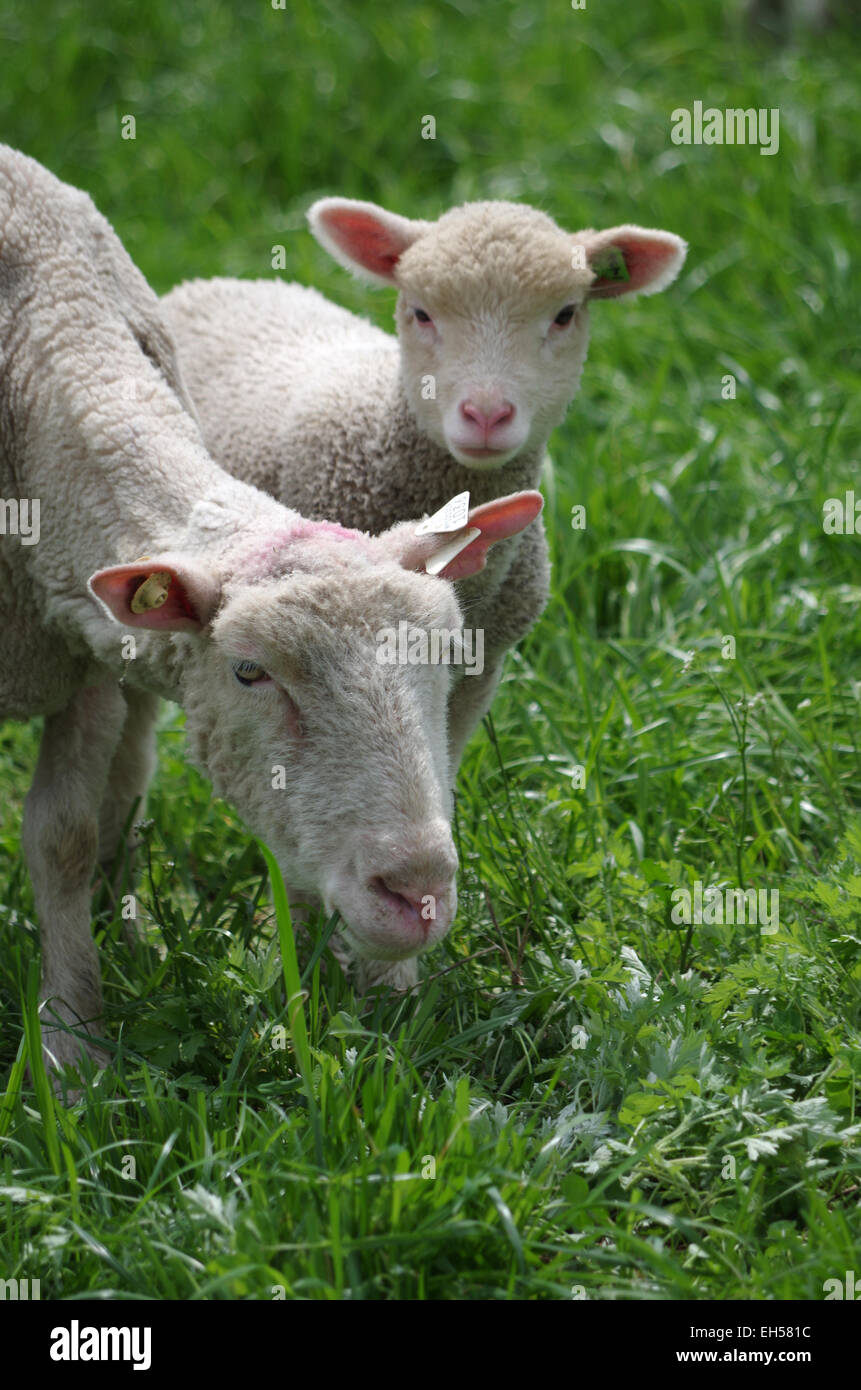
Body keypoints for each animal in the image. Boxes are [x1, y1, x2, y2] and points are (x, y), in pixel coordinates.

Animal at [0, 146, 542, 1075]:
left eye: (446, 664)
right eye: (249, 672)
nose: (415, 893)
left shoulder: (90, 650)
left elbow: (64, 835)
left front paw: (74, 1034)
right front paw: (72, 1056)